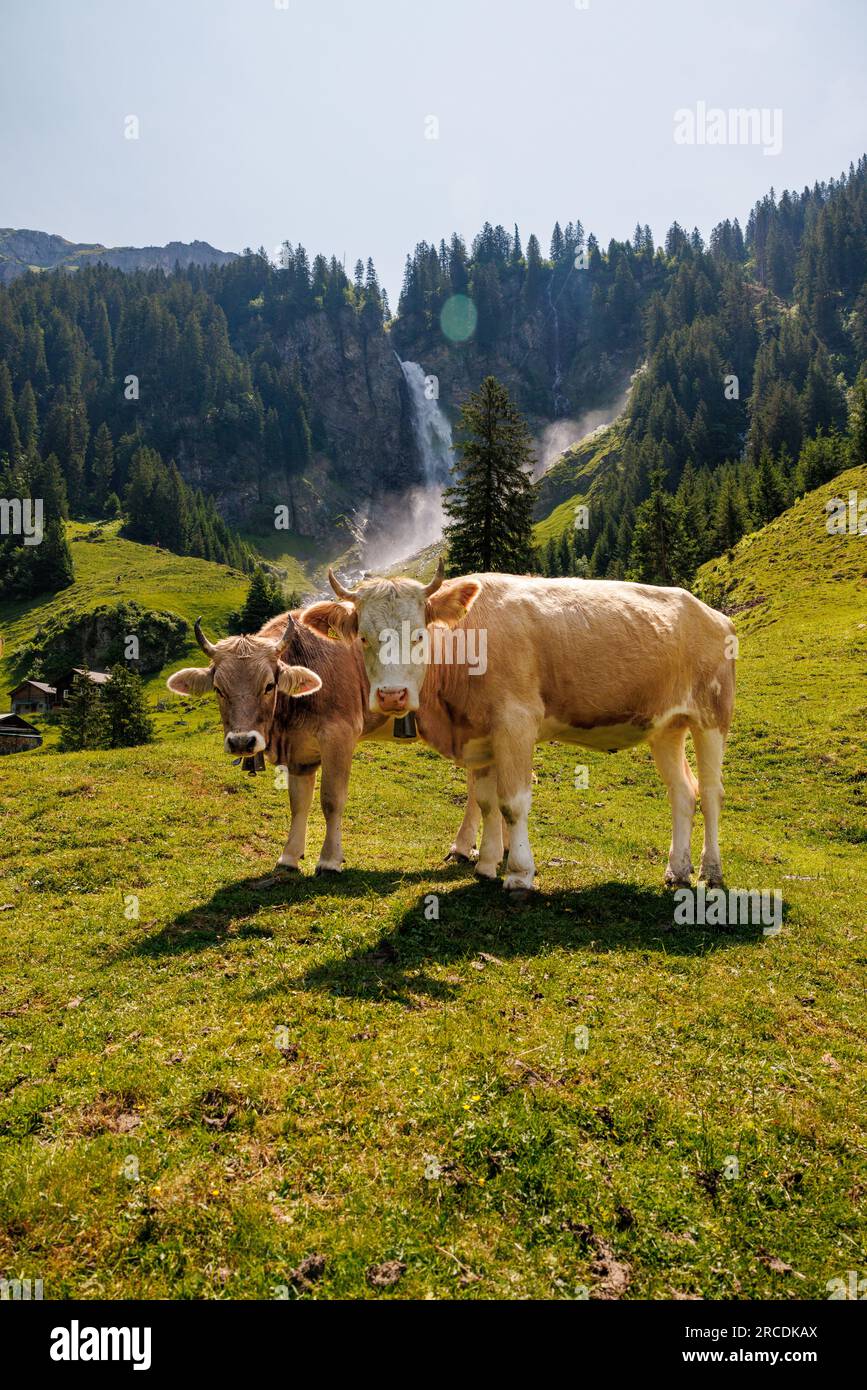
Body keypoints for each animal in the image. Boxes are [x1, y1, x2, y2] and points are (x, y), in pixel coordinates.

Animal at [165, 613, 483, 873]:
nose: (242, 741)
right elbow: (298, 803)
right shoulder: (299, 752)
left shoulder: (339, 736)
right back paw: (469, 848)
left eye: (269, 685)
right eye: (219, 689)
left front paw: (329, 860)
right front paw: (289, 857)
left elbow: (331, 800)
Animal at [300, 560, 736, 894]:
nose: (392, 695)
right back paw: (677, 872)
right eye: (363, 637)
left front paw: (519, 874)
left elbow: (512, 802)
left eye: (420, 635)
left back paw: (711, 873)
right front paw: (487, 865)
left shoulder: (517, 722)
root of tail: (712, 613)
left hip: (713, 716)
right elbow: (487, 801)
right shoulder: (481, 733)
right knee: (683, 793)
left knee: (712, 794)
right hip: (667, 727)